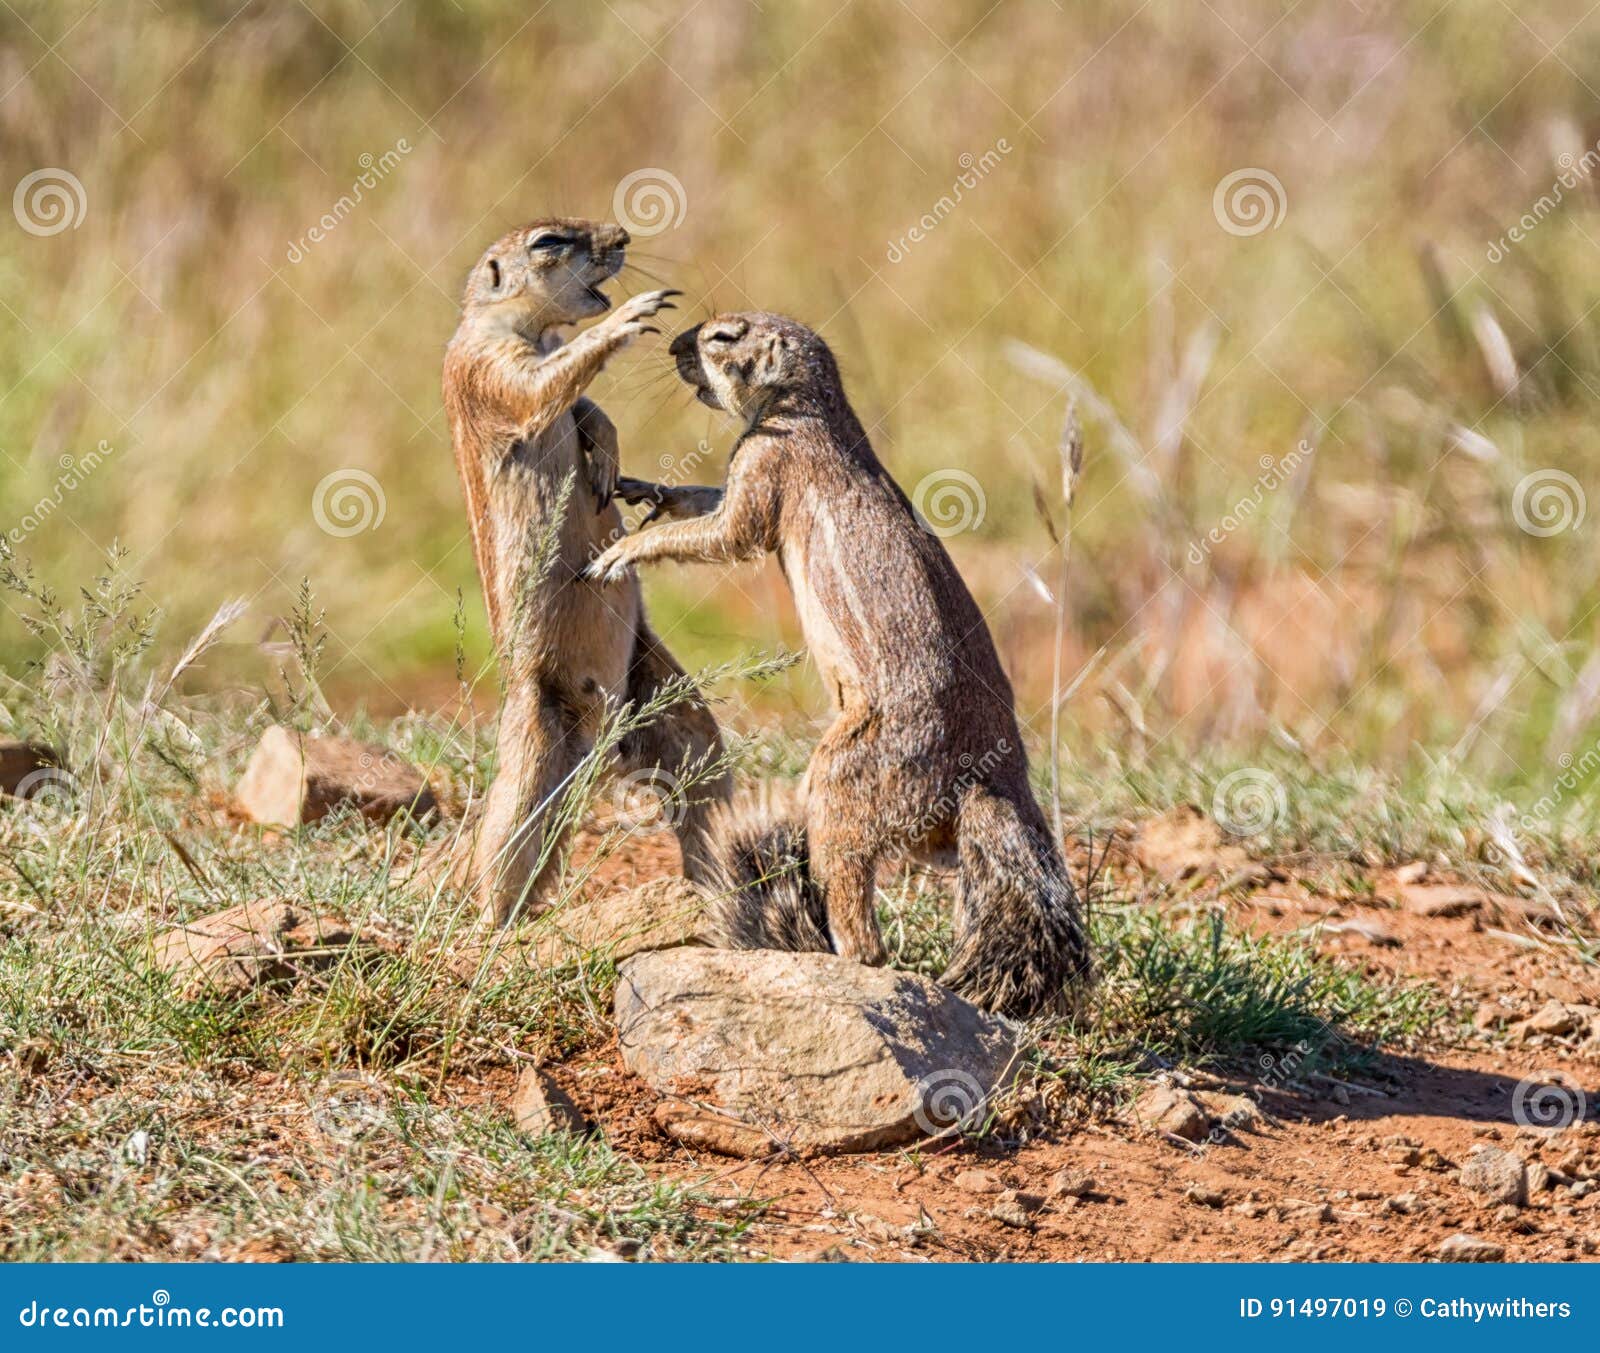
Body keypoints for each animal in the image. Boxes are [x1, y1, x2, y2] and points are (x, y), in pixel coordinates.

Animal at [442, 218, 729, 926]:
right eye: (549, 240)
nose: (622, 233)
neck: (524, 325)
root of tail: (601, 737)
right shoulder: (488, 367)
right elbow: (546, 386)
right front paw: (634, 313)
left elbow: (585, 404)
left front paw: (610, 462)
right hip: (536, 736)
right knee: (505, 834)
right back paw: (493, 922)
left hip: (660, 687)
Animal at [592, 312, 1090, 1018]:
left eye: (725, 335)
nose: (672, 346)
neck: (807, 406)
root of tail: (996, 777)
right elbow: (705, 498)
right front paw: (644, 487)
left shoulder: (767, 462)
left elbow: (729, 530)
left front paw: (625, 549)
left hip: (844, 777)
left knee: (862, 922)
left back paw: (831, 958)